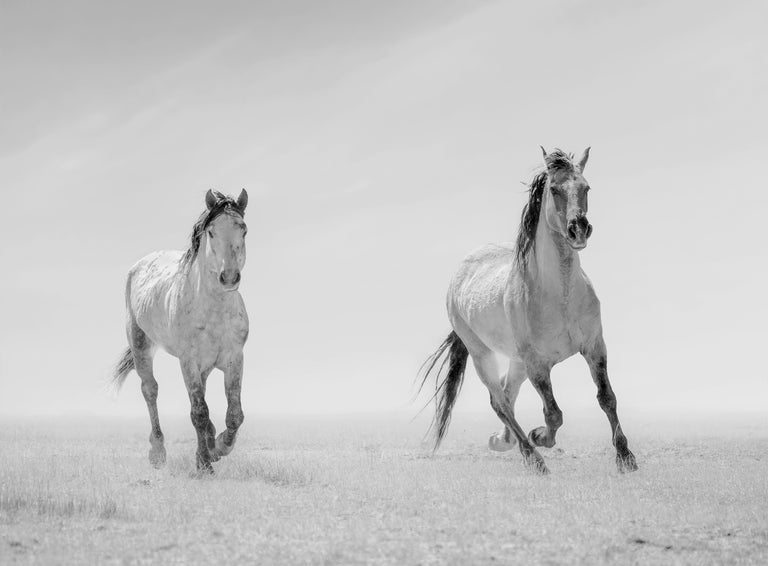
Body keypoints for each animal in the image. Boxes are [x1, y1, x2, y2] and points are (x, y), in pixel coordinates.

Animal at [112, 189, 250, 473]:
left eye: (243, 229)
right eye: (211, 232)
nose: (229, 278)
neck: (214, 310)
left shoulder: (234, 359)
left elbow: (234, 415)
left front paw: (219, 446)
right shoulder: (189, 362)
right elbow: (199, 412)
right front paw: (205, 463)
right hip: (141, 345)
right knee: (150, 390)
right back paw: (158, 452)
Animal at [419, 148, 637, 475]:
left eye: (586, 188)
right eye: (555, 189)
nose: (579, 229)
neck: (560, 296)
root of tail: (462, 270)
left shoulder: (595, 347)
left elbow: (607, 398)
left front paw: (625, 457)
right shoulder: (538, 364)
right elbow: (553, 413)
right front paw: (539, 436)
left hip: (517, 360)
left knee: (507, 392)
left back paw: (502, 441)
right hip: (483, 354)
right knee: (499, 401)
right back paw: (532, 456)